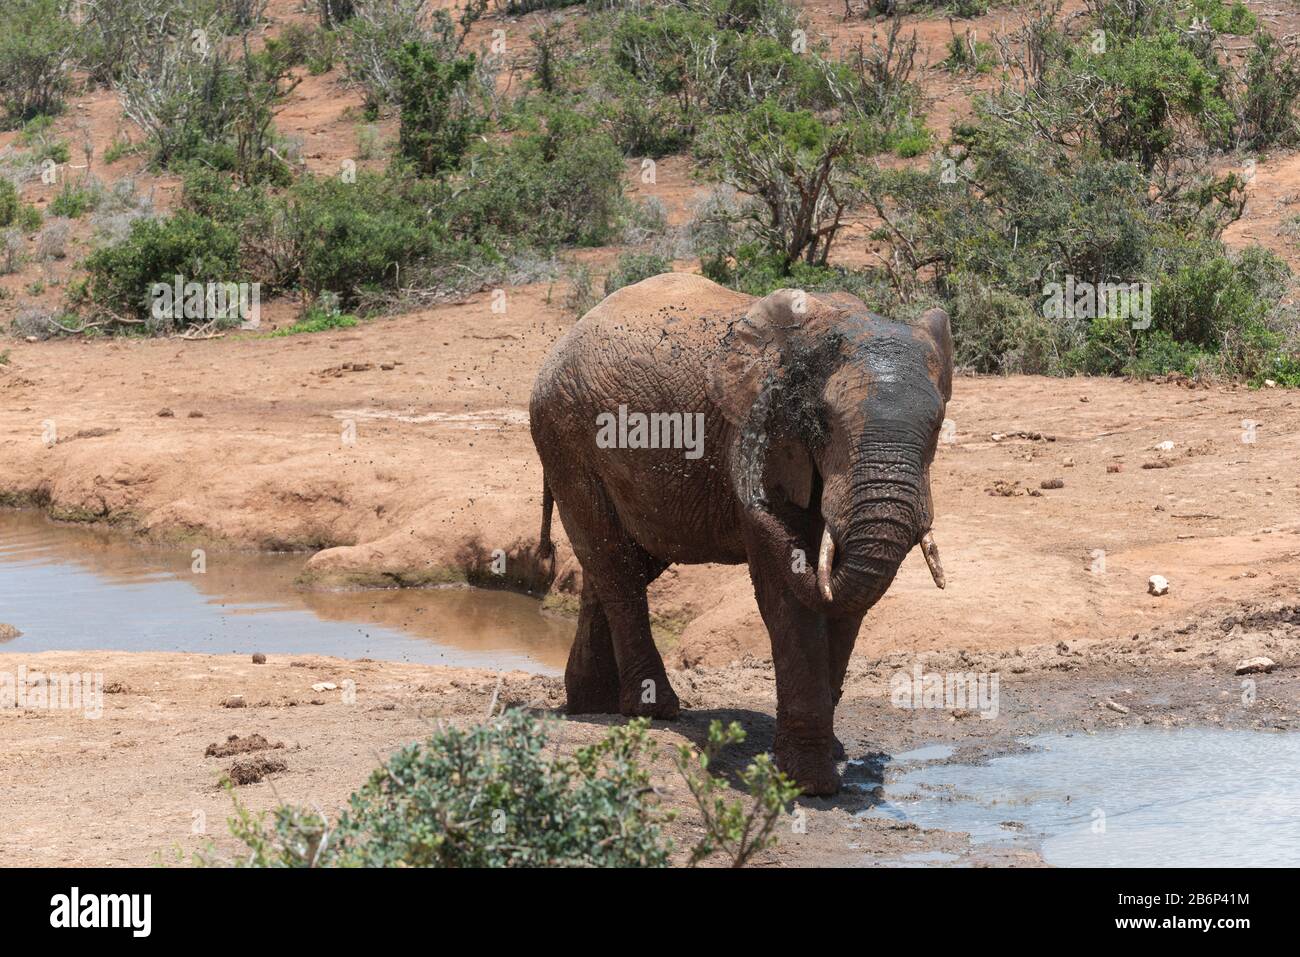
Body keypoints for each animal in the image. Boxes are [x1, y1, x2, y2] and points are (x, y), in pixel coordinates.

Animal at [529, 273, 951, 795]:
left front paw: (831, 755)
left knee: (615, 562)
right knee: (615, 564)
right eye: (824, 422)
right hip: (565, 434)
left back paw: (593, 704)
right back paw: (654, 709)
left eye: (938, 425)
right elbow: (783, 591)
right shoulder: (761, 430)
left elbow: (844, 596)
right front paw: (809, 785)